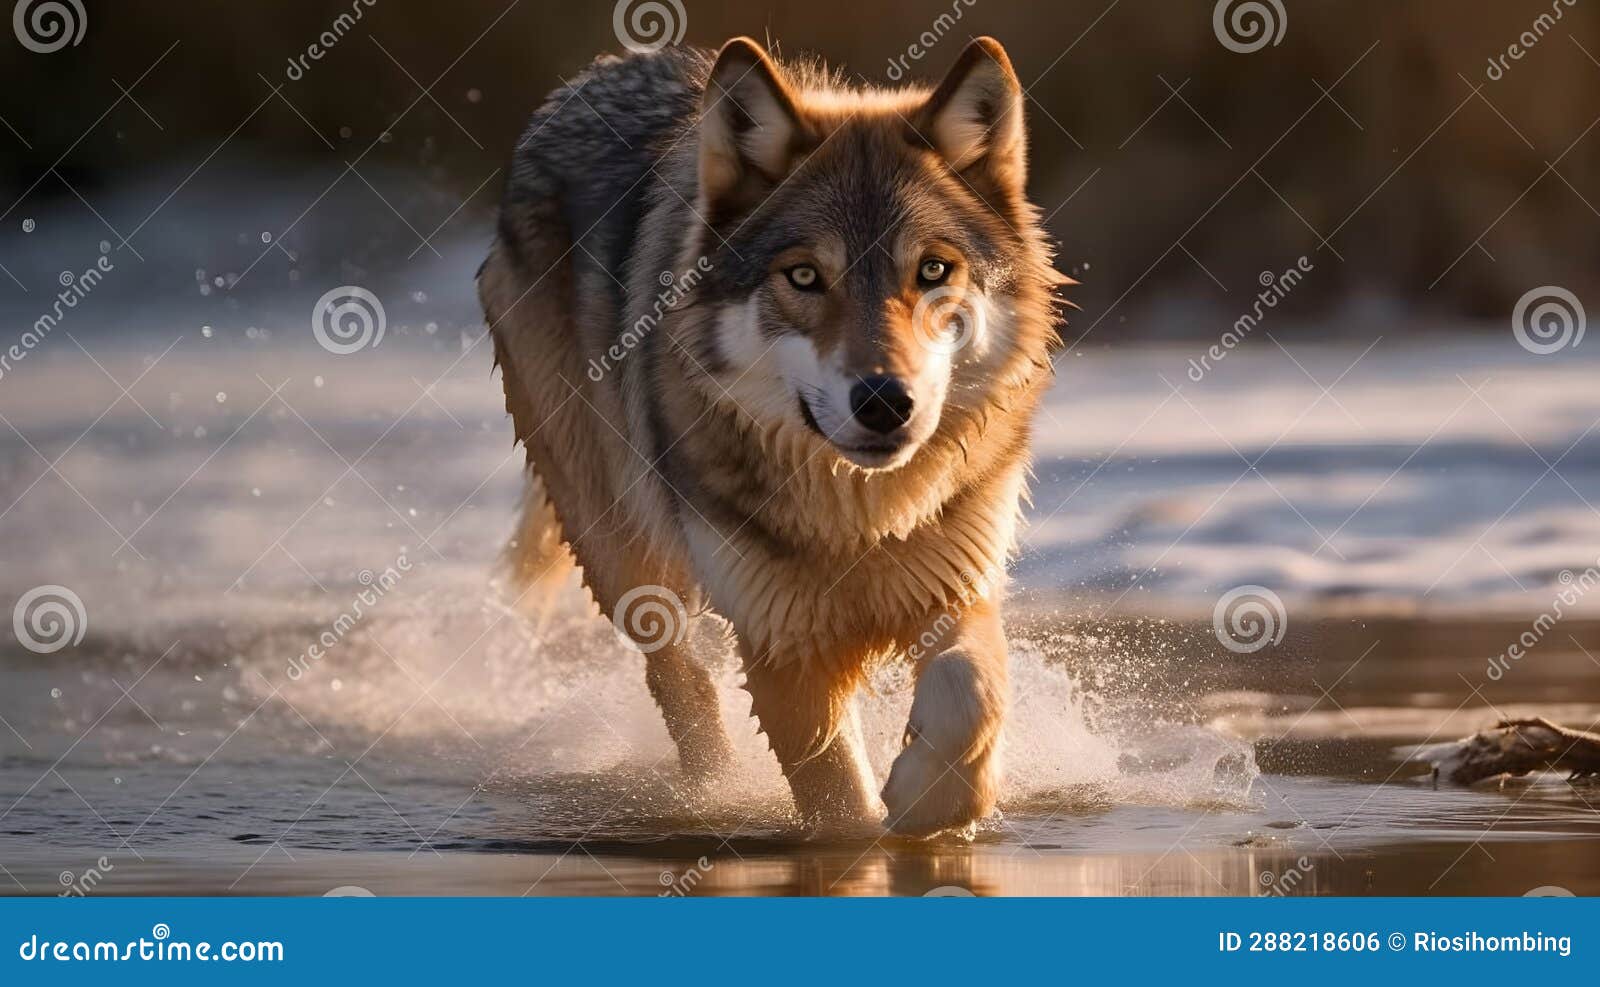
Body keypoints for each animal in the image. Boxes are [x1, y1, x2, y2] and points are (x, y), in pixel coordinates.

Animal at [478, 35, 1063, 835]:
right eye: (805, 276)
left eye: (934, 269)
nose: (885, 400)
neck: (861, 520)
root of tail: (590, 78)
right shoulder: (779, 640)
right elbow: (836, 800)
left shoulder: (957, 582)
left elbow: (971, 694)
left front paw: (927, 801)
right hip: (625, 551)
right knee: (679, 680)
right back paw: (710, 789)